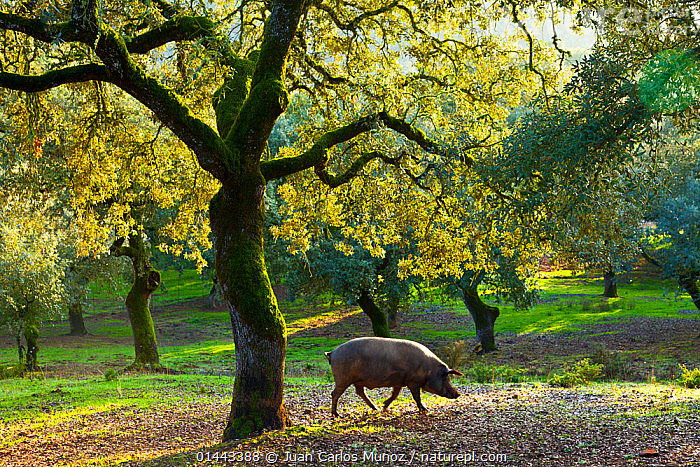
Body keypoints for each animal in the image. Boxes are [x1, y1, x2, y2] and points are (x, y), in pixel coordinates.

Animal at [324, 337, 463, 416]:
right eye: (446, 377)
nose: (458, 394)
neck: (429, 369)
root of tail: (332, 352)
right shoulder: (413, 382)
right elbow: (416, 397)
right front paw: (425, 410)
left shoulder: (399, 382)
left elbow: (395, 394)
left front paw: (384, 407)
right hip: (343, 378)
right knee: (335, 394)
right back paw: (337, 414)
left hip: (357, 380)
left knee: (360, 392)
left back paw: (375, 408)